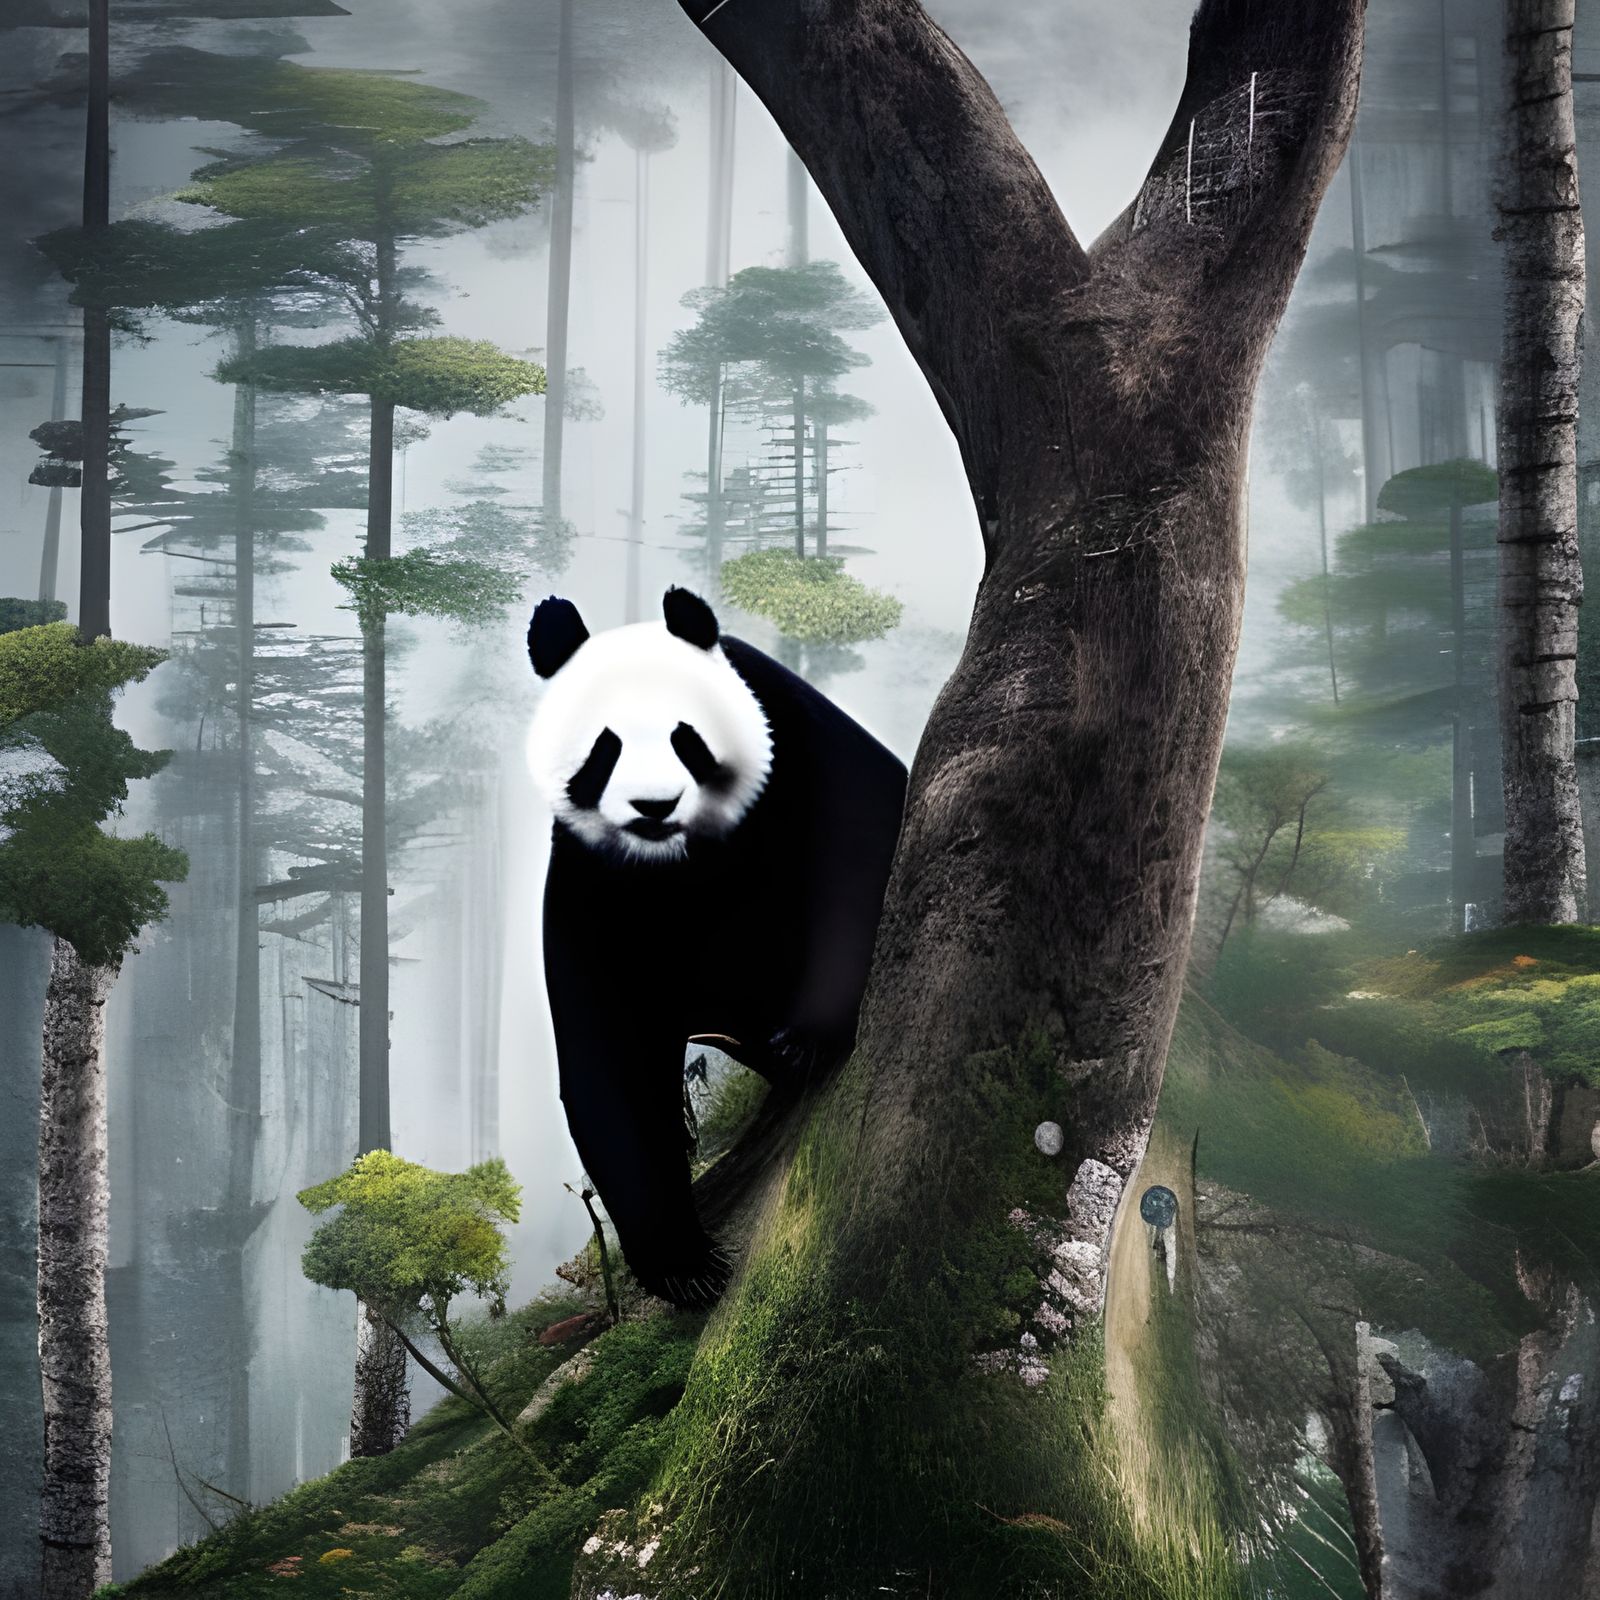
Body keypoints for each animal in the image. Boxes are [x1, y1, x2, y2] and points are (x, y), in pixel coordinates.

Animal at [526, 586, 908, 1308]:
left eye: (686, 737)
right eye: (602, 749)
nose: (654, 808)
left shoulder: (794, 736)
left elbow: (860, 844)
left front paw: (808, 1038)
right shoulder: (594, 882)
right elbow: (606, 1052)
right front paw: (684, 1265)